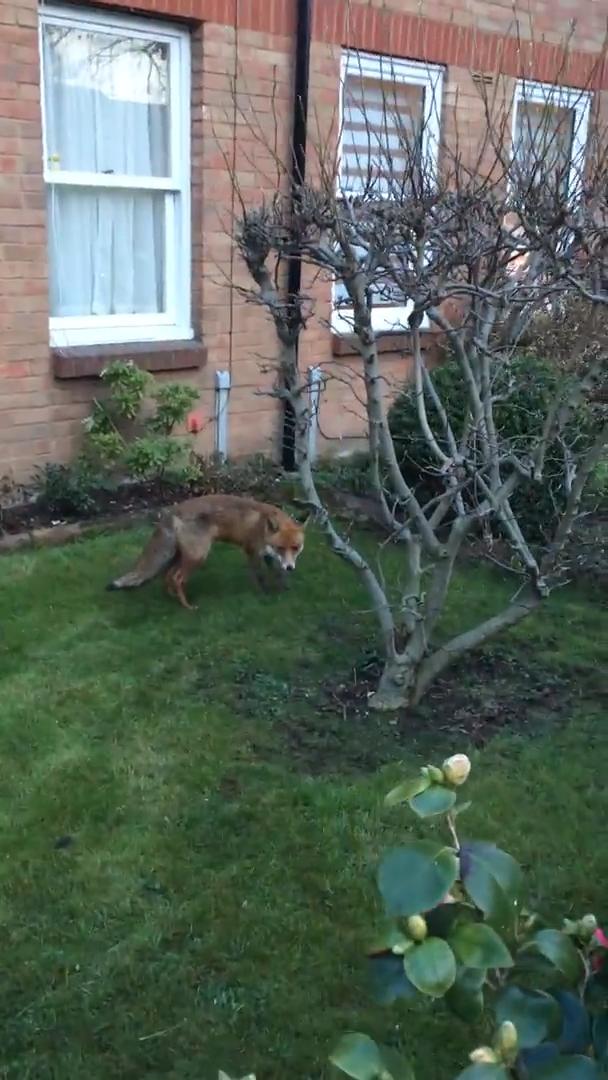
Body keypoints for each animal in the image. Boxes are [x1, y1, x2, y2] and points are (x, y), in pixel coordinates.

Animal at [106, 494, 308, 611]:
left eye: (296, 547)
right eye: (280, 548)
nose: (291, 567)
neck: (262, 527)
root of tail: (172, 511)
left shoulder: (268, 556)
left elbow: (277, 573)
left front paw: (283, 588)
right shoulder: (251, 551)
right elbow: (260, 577)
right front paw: (265, 595)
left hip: (180, 555)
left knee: (169, 574)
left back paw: (172, 597)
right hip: (199, 555)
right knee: (177, 577)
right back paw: (187, 607)